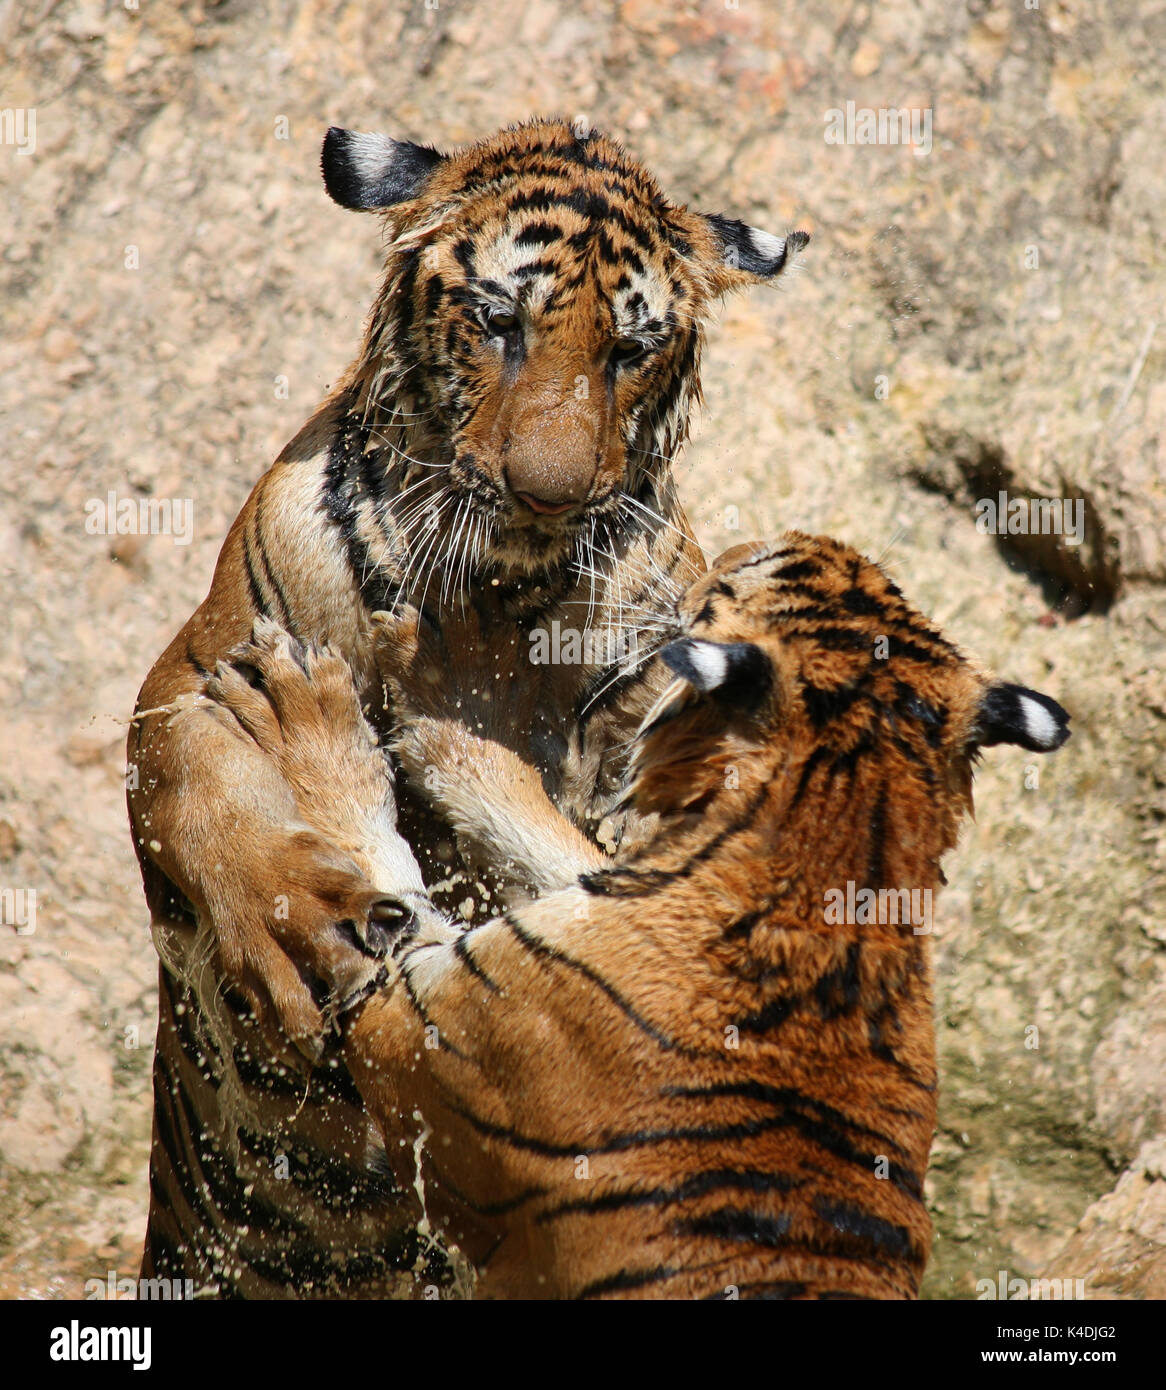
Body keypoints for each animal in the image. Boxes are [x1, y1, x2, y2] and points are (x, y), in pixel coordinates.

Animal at [125, 116, 810, 1296]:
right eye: (499, 323)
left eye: (629, 351)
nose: (547, 493)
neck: (498, 596)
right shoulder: (198, 670)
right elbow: (200, 789)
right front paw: (293, 925)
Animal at [204, 530, 1071, 1300]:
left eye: (753, 565)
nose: (770, 536)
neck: (855, 848)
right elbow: (533, 829)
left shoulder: (411, 1017)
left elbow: (400, 859)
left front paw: (323, 706)